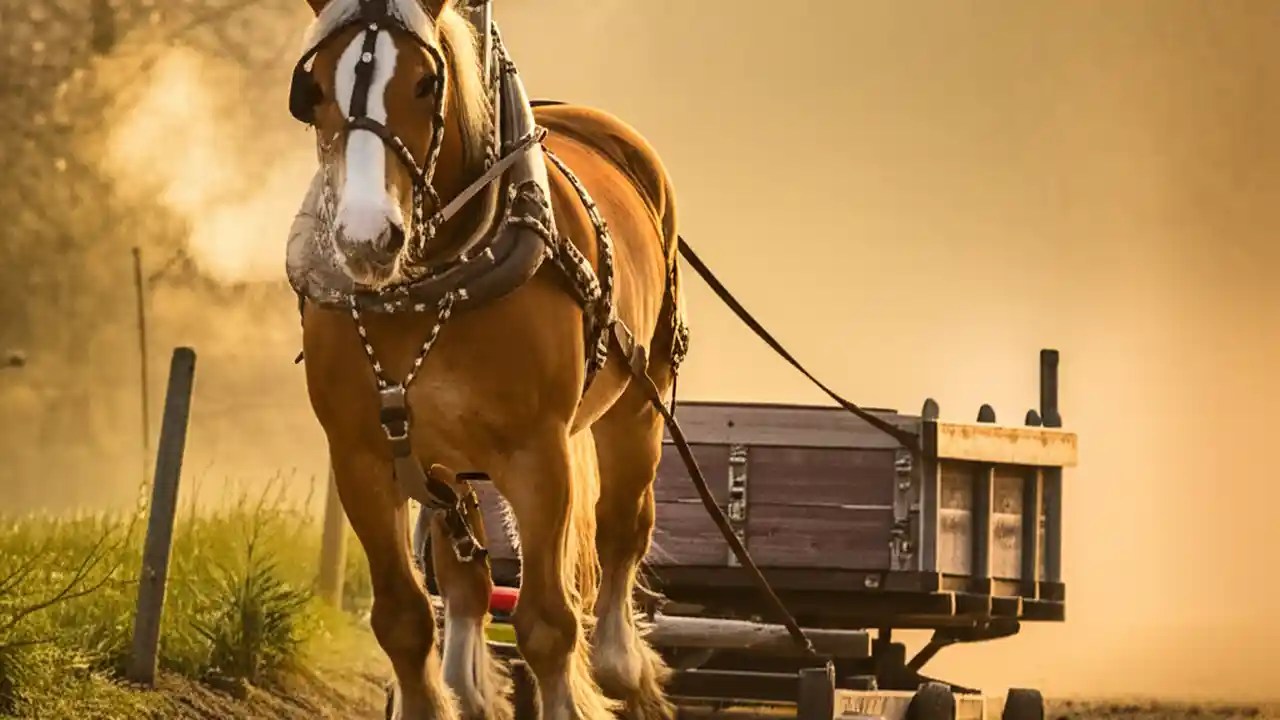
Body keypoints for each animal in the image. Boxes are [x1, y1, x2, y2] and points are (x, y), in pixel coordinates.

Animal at [287, 1, 687, 718]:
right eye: (316, 89)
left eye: (425, 84)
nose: (365, 238)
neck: (427, 284)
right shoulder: (361, 457)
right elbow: (404, 619)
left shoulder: (538, 454)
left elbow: (548, 625)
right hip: (446, 466)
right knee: (465, 582)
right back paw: (469, 686)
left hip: (640, 403)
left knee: (621, 531)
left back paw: (621, 666)